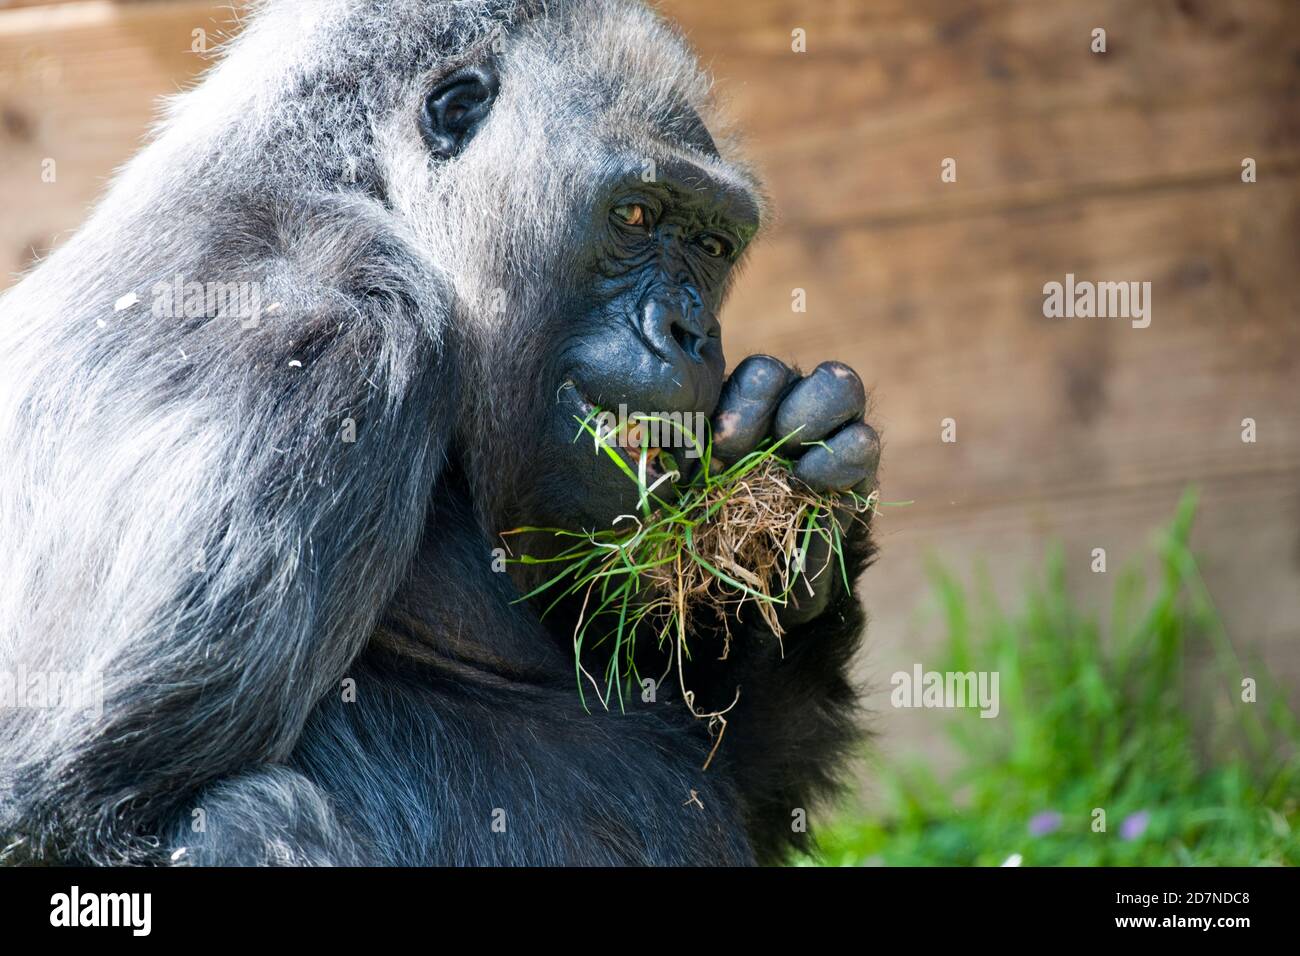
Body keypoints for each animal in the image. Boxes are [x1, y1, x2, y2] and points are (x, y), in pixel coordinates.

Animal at [0, 0, 881, 866]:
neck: (363, 188)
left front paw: (796, 526)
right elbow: (55, 812)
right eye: (636, 214)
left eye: (713, 245)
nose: (691, 334)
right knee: (242, 816)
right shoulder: (322, 327)